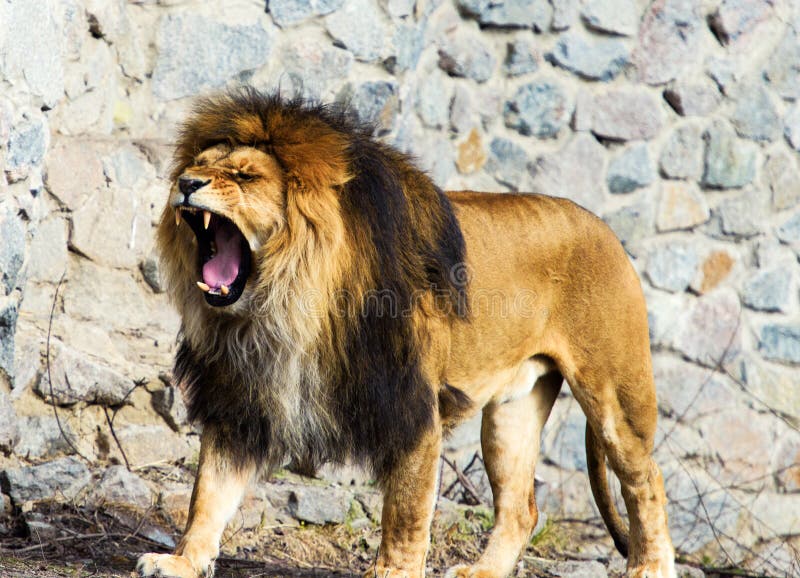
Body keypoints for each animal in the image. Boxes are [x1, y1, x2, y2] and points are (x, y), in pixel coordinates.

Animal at [136, 88, 675, 578]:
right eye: (198, 164)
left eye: (245, 176)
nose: (186, 182)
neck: (284, 305)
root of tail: (604, 227)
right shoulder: (240, 397)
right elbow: (208, 491)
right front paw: (181, 561)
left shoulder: (413, 406)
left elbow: (406, 511)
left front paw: (392, 571)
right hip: (512, 413)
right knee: (522, 508)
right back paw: (483, 572)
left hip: (614, 395)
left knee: (646, 480)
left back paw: (648, 566)